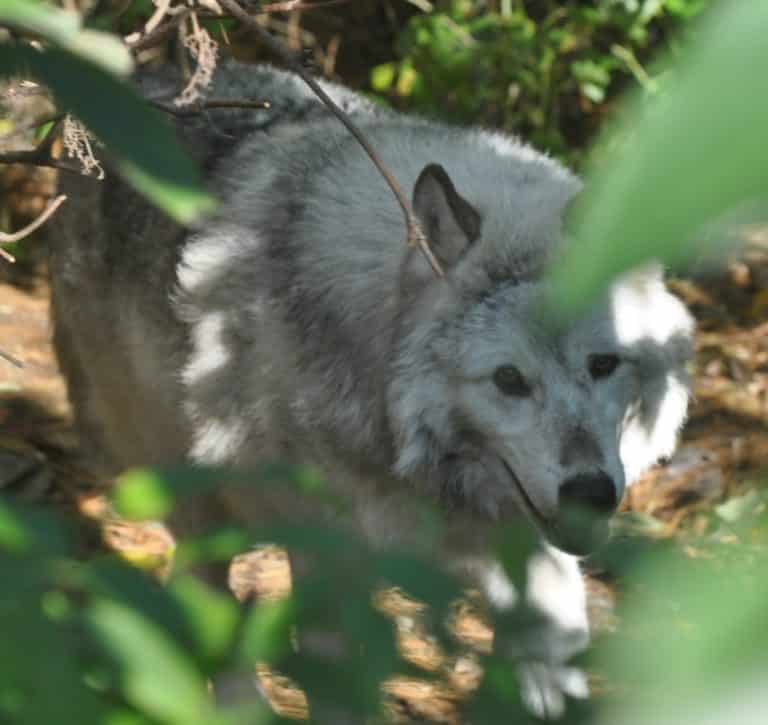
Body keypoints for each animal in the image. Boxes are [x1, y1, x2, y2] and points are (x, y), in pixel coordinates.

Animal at [49, 62, 694, 718]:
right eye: (509, 379)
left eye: (603, 364)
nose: (592, 493)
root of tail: (146, 74)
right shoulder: (331, 571)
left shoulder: (527, 566)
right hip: (187, 481)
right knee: (200, 587)